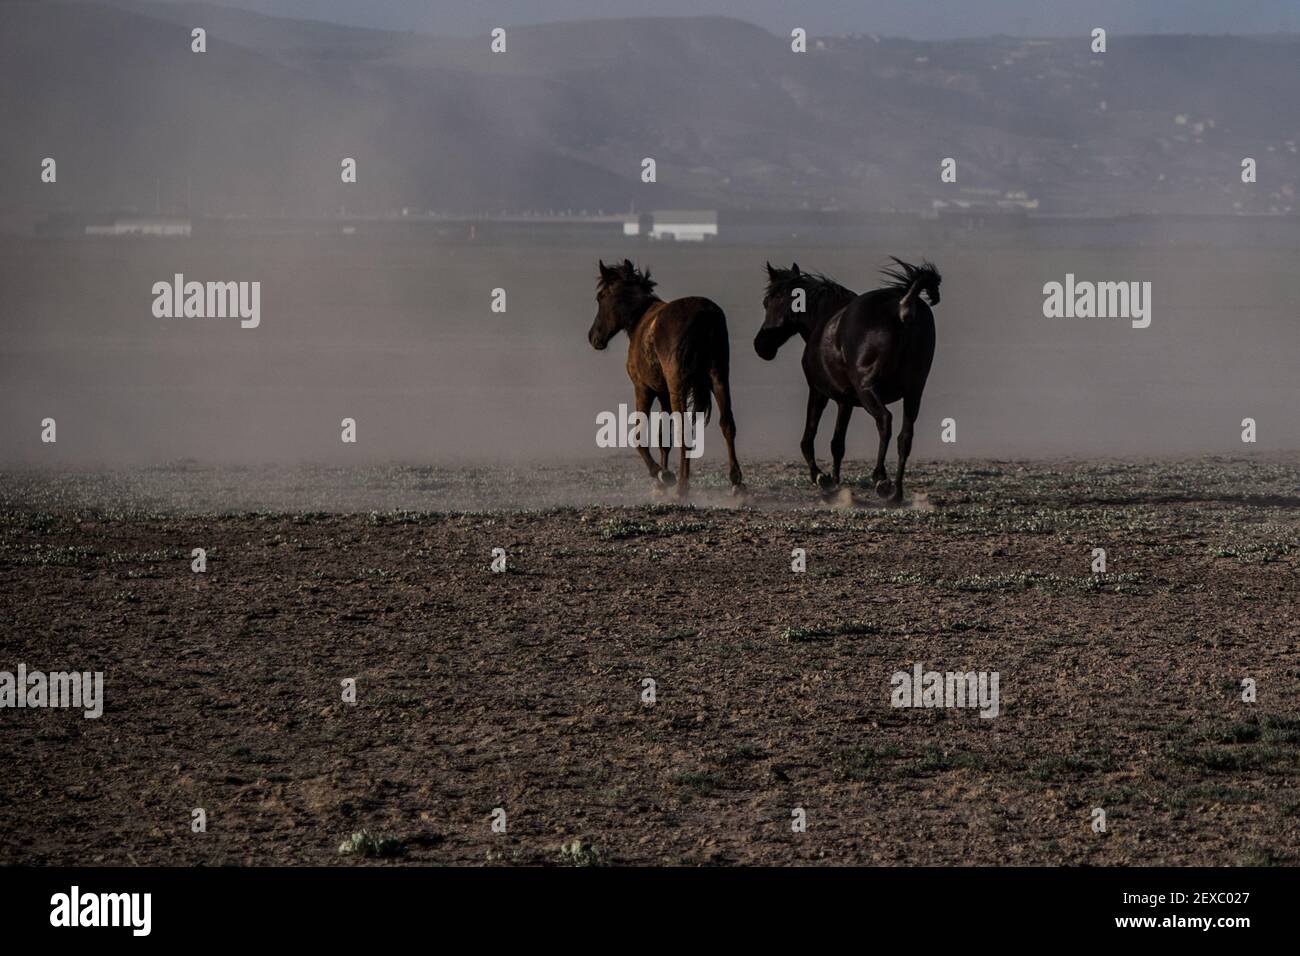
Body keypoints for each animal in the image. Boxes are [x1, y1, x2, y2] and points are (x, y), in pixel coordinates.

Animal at [588, 259, 743, 497]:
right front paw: (661, 483)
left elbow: (640, 436)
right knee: (727, 424)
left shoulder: (643, 388)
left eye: (600, 297)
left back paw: (682, 486)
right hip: (718, 377)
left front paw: (662, 475)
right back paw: (736, 484)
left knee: (684, 430)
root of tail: (705, 317)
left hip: (677, 385)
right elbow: (663, 438)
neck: (639, 321)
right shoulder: (662, 392)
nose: (593, 337)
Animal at [753, 258, 940, 505]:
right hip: (913, 393)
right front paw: (835, 483)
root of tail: (903, 307)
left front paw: (823, 479)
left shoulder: (819, 392)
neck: (823, 319)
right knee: (905, 438)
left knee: (885, 421)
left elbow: (809, 439)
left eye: (768, 302)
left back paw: (881, 480)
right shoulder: (846, 401)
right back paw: (896, 493)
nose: (760, 346)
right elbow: (837, 444)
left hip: (868, 390)